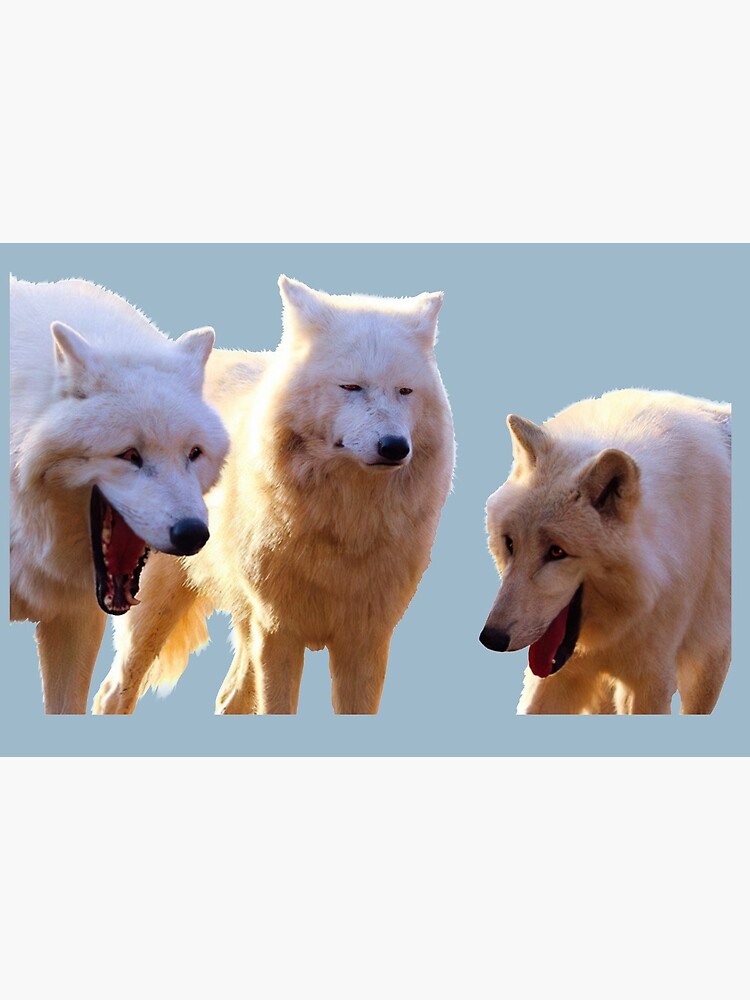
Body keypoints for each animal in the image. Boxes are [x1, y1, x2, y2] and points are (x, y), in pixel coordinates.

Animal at [93, 275, 455, 715]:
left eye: (405, 391)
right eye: (351, 387)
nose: (395, 447)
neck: (345, 525)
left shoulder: (366, 640)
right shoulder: (278, 631)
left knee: (229, 698)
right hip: (155, 609)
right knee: (113, 692)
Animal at [479, 389, 731, 715]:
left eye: (557, 552)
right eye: (510, 543)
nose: (491, 637)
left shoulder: (652, 681)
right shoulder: (560, 673)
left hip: (706, 667)